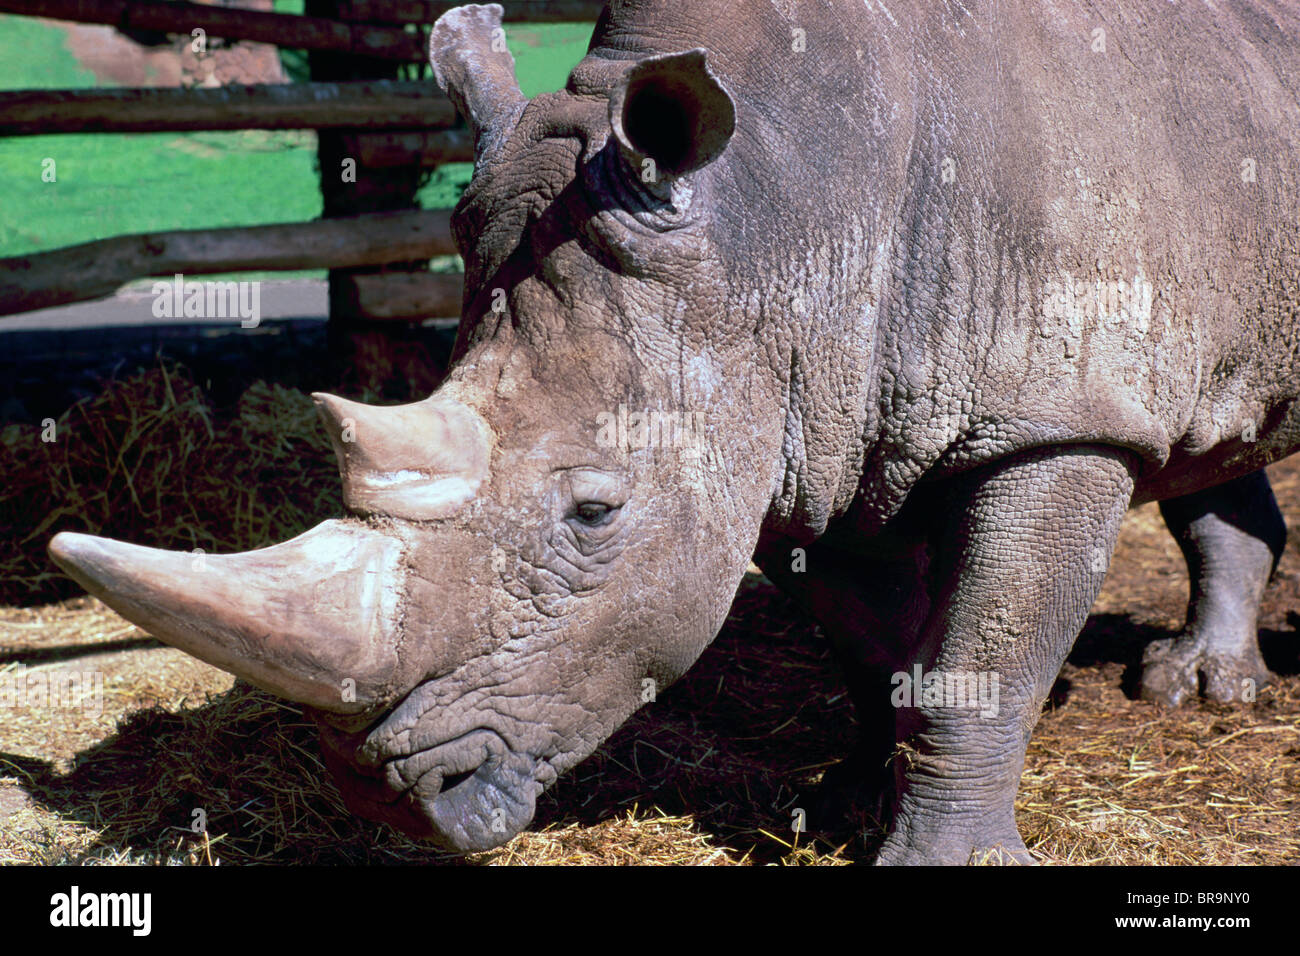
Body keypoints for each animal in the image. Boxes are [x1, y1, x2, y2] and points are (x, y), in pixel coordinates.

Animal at [48, 0, 1299, 863]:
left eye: (594, 512)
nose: (381, 794)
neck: (785, 205)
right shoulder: (814, 422)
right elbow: (871, 644)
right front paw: (842, 803)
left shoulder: (1057, 421)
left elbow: (979, 659)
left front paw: (933, 855)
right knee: (1212, 424)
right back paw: (1191, 687)